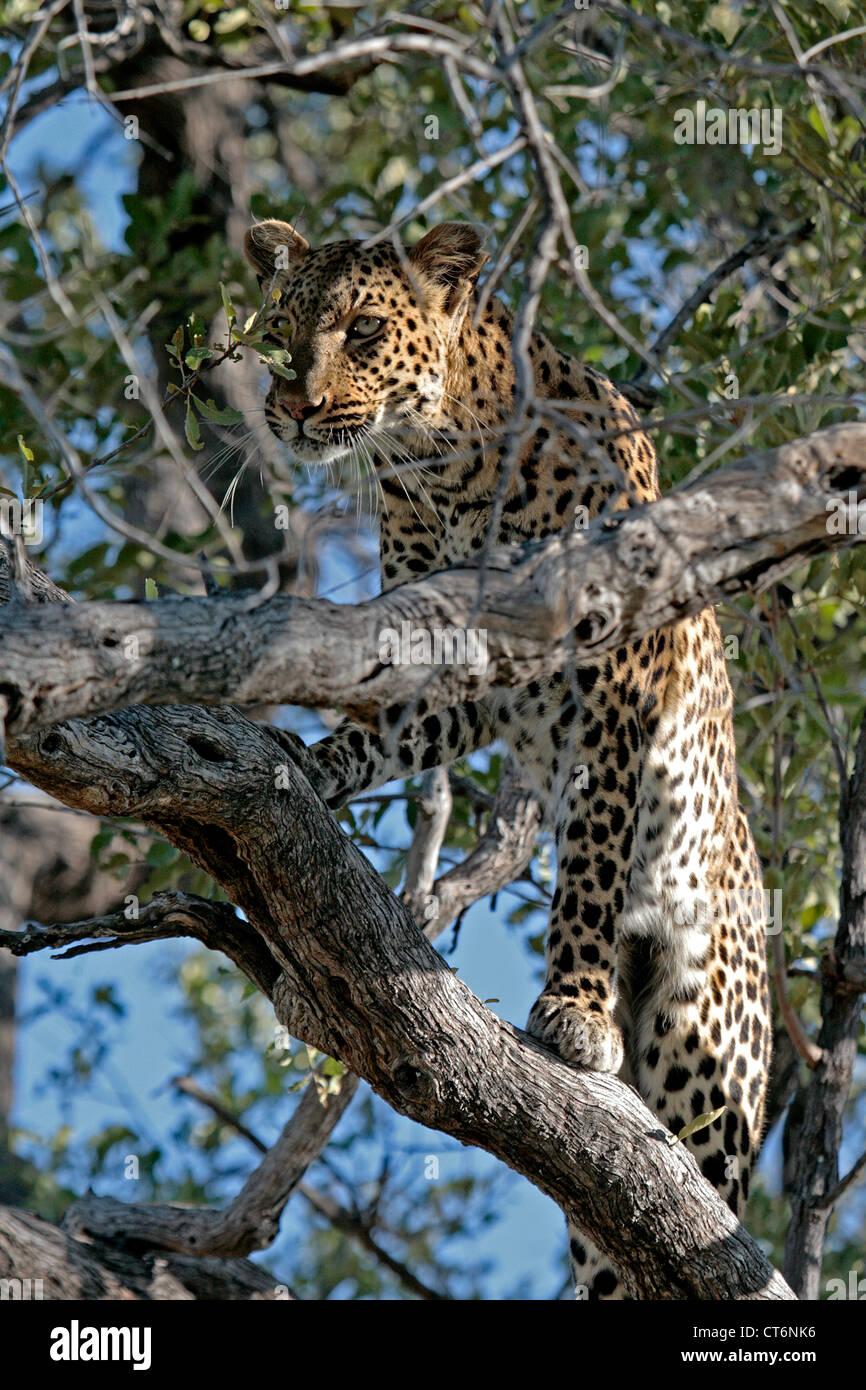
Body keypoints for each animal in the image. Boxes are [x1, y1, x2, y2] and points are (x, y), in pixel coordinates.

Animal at [243, 217, 772, 1298]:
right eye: (280, 333)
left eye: (363, 330)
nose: (292, 407)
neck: (444, 463)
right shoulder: (459, 656)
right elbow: (382, 730)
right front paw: (312, 765)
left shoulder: (620, 668)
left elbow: (593, 856)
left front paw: (574, 1010)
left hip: (708, 1043)